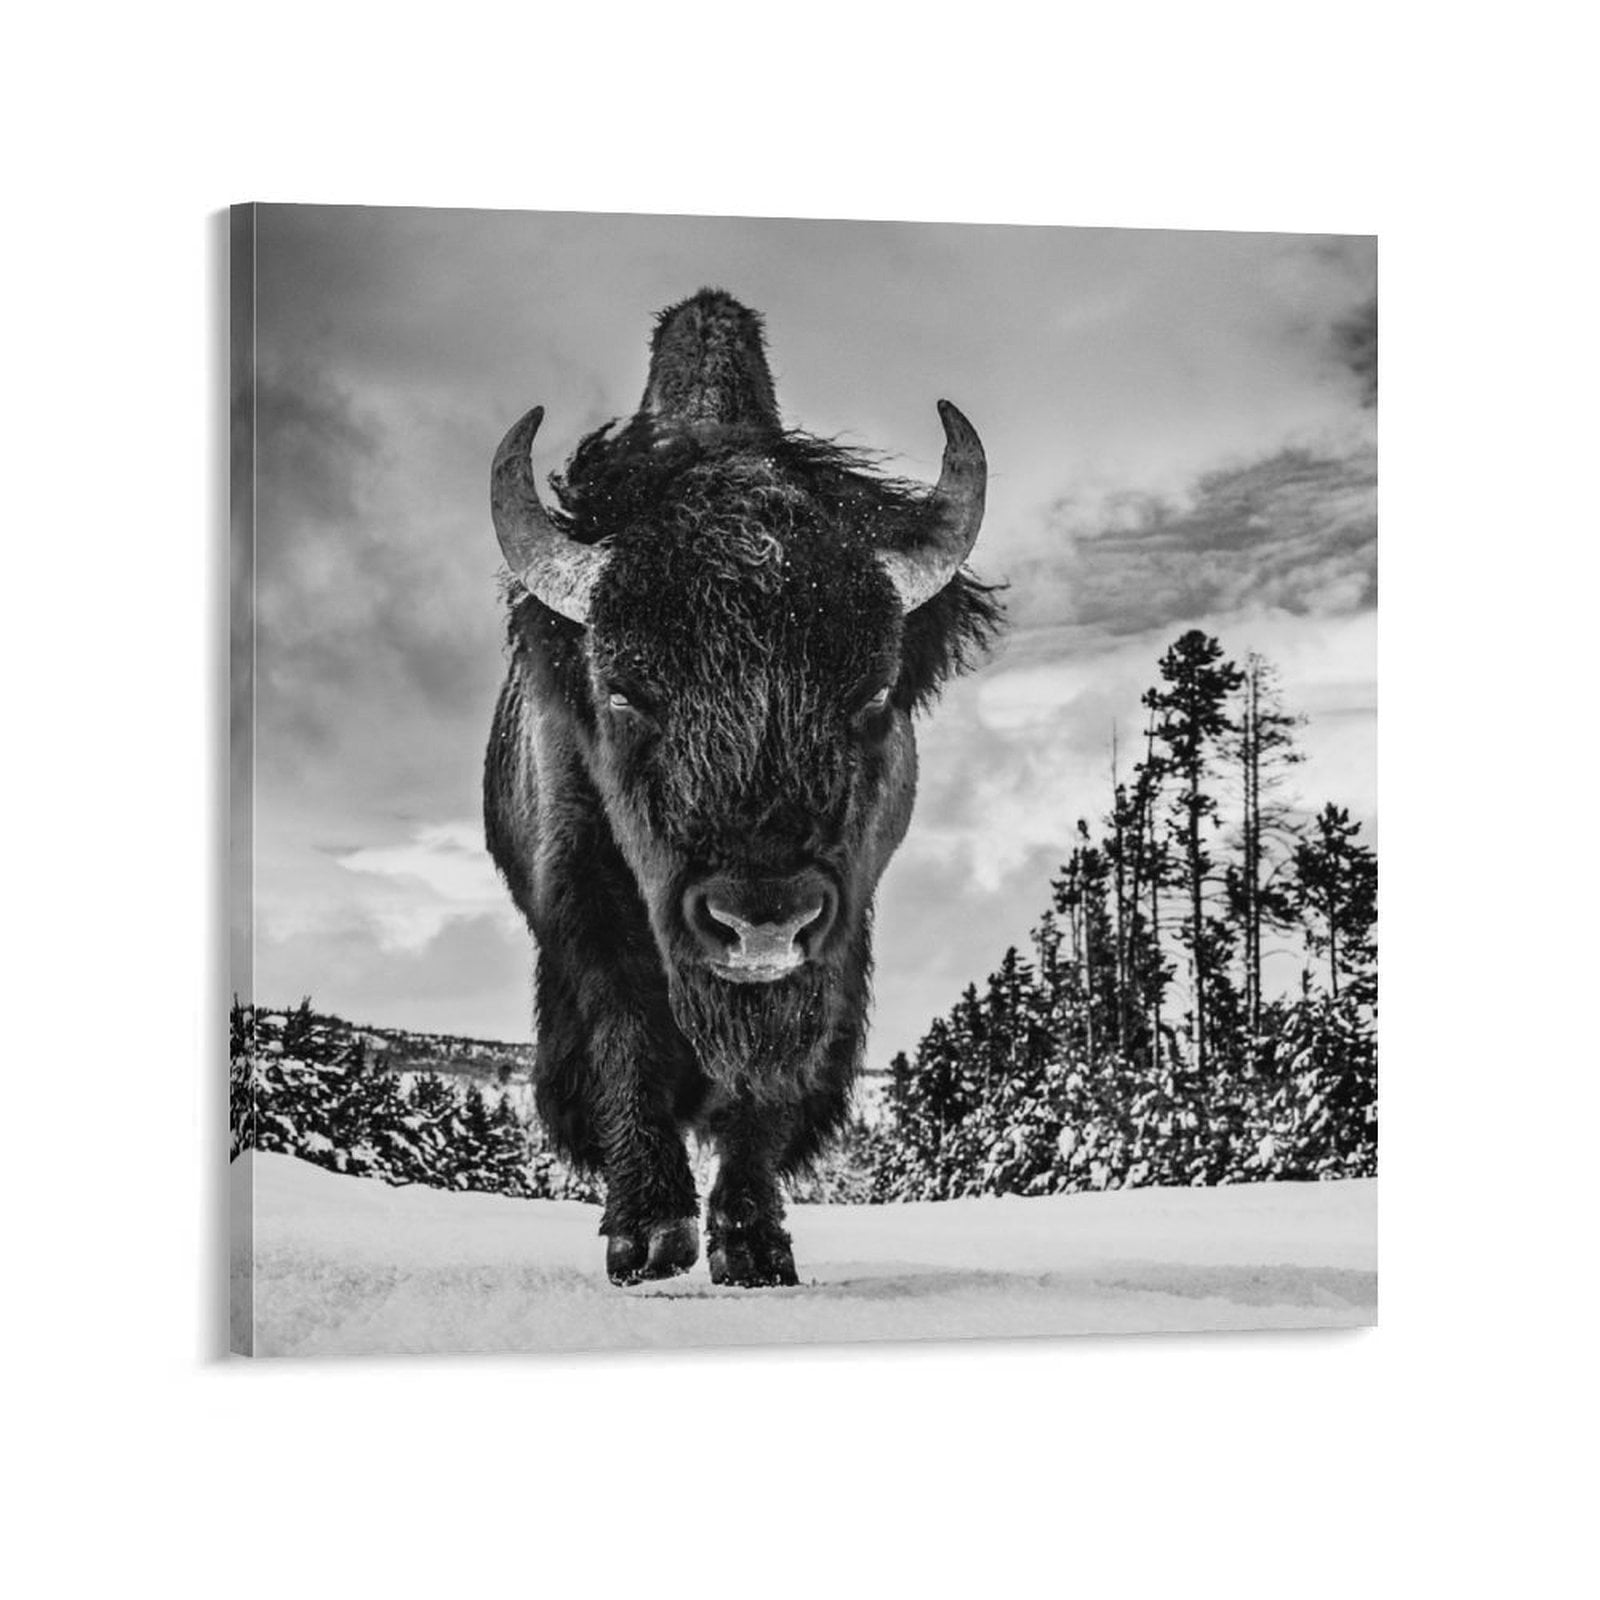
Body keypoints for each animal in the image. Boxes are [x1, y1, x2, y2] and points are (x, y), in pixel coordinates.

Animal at [484, 290, 1000, 1285]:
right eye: (624, 689)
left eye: (873, 693)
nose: (761, 919)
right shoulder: (589, 906)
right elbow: (626, 1038)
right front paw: (648, 1236)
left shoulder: (838, 936)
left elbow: (764, 1084)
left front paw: (753, 1246)